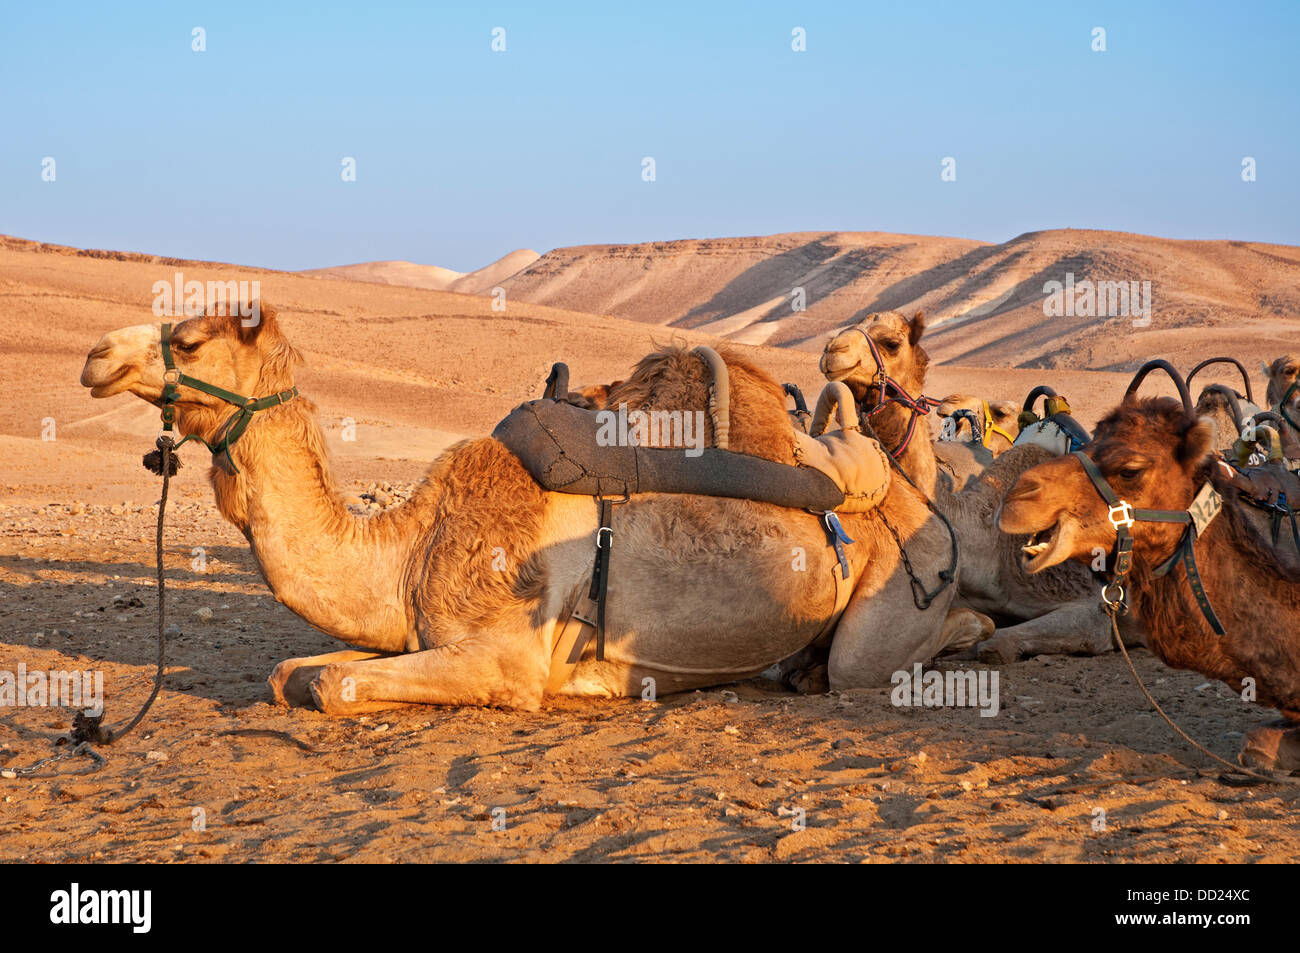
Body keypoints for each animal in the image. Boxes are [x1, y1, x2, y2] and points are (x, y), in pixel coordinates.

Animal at [80, 304, 977, 713]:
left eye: (189, 340)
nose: (96, 354)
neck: (412, 545)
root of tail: (917, 495)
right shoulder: (417, 632)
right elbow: (290, 673)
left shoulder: (504, 658)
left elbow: (332, 683)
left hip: (902, 583)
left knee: (871, 660)